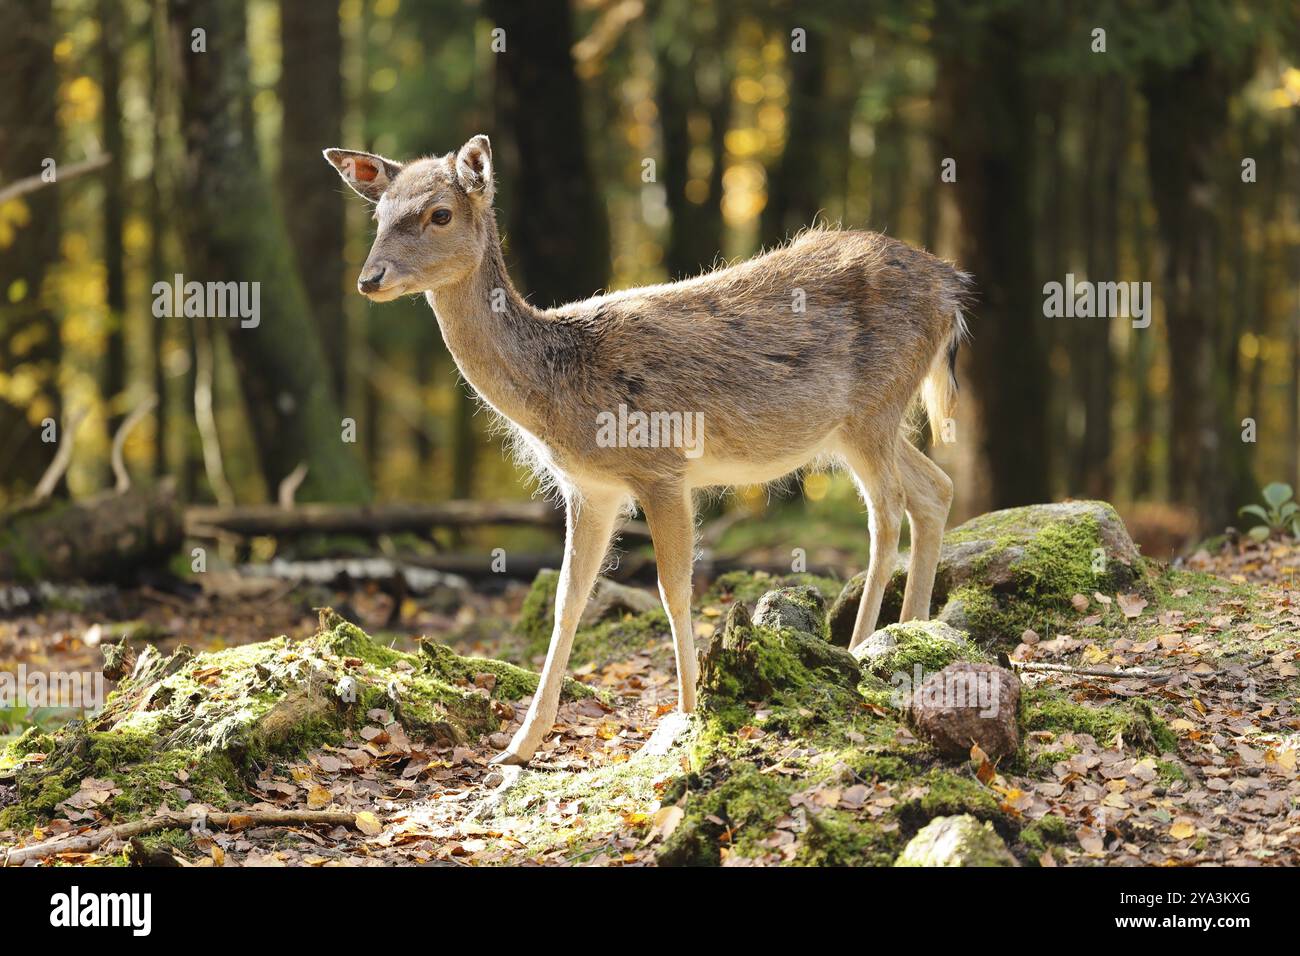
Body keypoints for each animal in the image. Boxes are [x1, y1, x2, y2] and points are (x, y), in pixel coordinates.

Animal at [325, 135, 969, 765]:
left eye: (440, 213)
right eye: (379, 214)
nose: (369, 278)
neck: (561, 384)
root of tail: (952, 288)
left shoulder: (662, 467)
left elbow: (673, 590)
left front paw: (686, 716)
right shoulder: (590, 488)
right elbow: (567, 598)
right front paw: (517, 748)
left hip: (872, 410)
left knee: (888, 511)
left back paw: (862, 649)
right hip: (859, 425)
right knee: (934, 489)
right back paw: (912, 633)